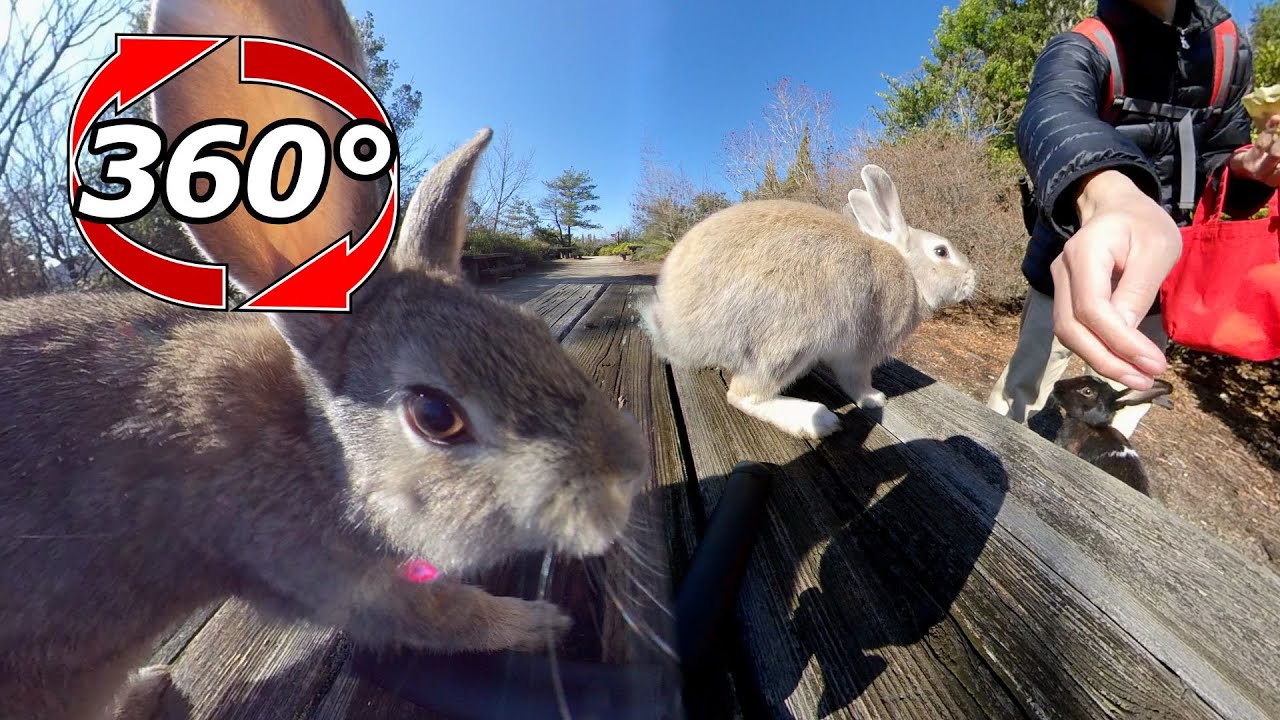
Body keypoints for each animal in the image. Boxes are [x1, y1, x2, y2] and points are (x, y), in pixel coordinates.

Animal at [0, 1, 649, 718]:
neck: (321, 451)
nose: (625, 473)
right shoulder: (322, 569)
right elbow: (443, 614)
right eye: (434, 415)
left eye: (534, 329)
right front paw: (538, 623)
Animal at [639, 164, 977, 441]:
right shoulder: (859, 351)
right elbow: (856, 382)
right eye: (941, 252)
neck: (909, 269)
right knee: (742, 395)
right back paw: (817, 420)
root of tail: (674, 331)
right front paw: (875, 398)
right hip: (788, 342)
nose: (973, 277)